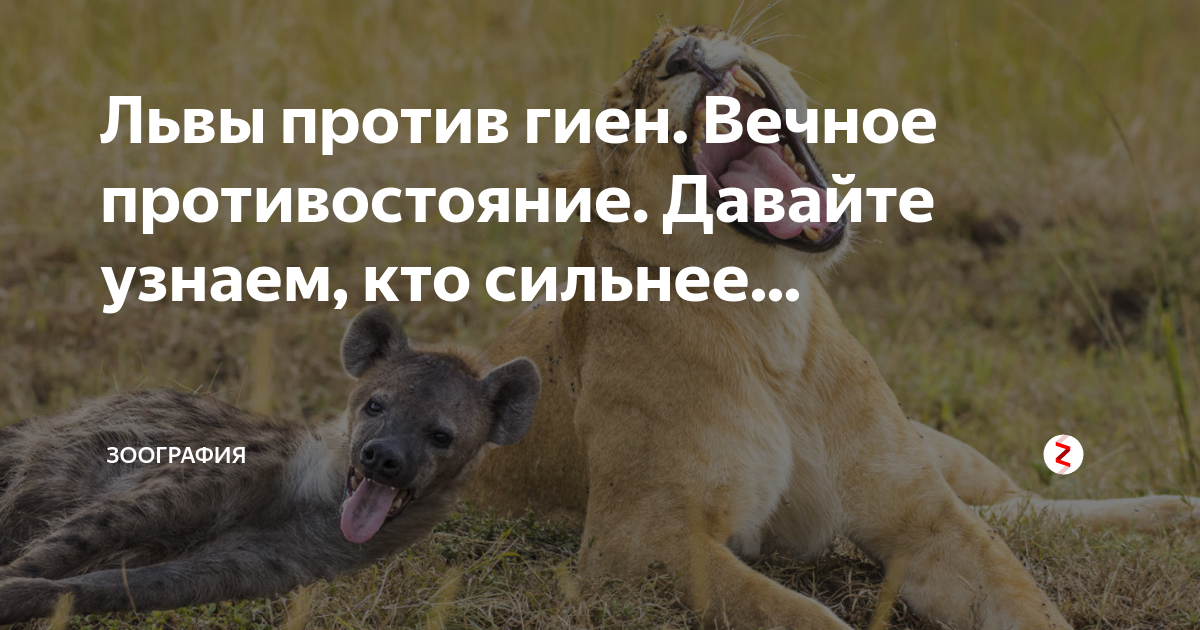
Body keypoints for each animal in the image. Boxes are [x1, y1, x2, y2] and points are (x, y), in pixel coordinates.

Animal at [466, 26, 1198, 630]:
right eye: (623, 111)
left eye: (691, 31)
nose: (685, 55)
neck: (767, 312)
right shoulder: (636, 540)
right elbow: (793, 614)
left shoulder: (918, 513)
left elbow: (1023, 596)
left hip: (934, 447)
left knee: (1018, 505)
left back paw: (1174, 510)